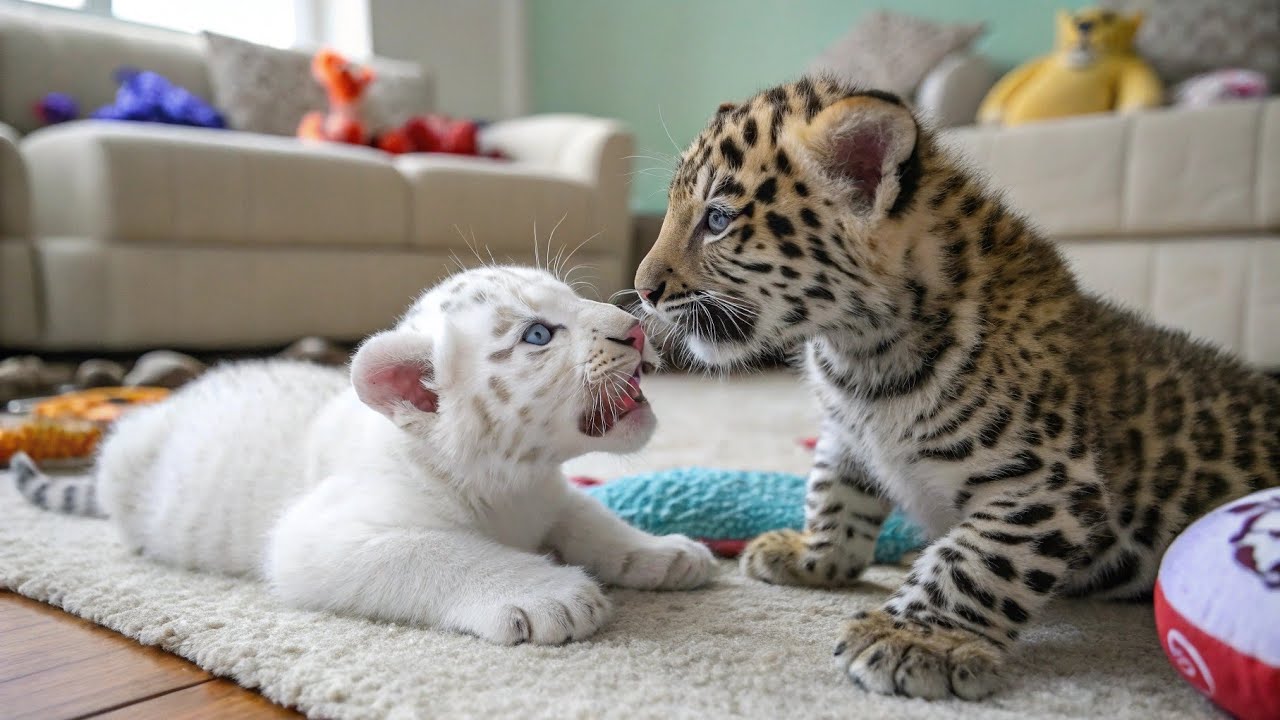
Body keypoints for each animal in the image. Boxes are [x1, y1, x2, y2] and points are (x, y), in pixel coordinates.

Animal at [633, 76, 1280, 699]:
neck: (858, 352)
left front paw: (914, 641)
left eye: (718, 220)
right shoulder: (845, 435)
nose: (643, 290)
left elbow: (972, 561)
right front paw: (811, 556)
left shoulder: (1046, 482)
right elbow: (833, 494)